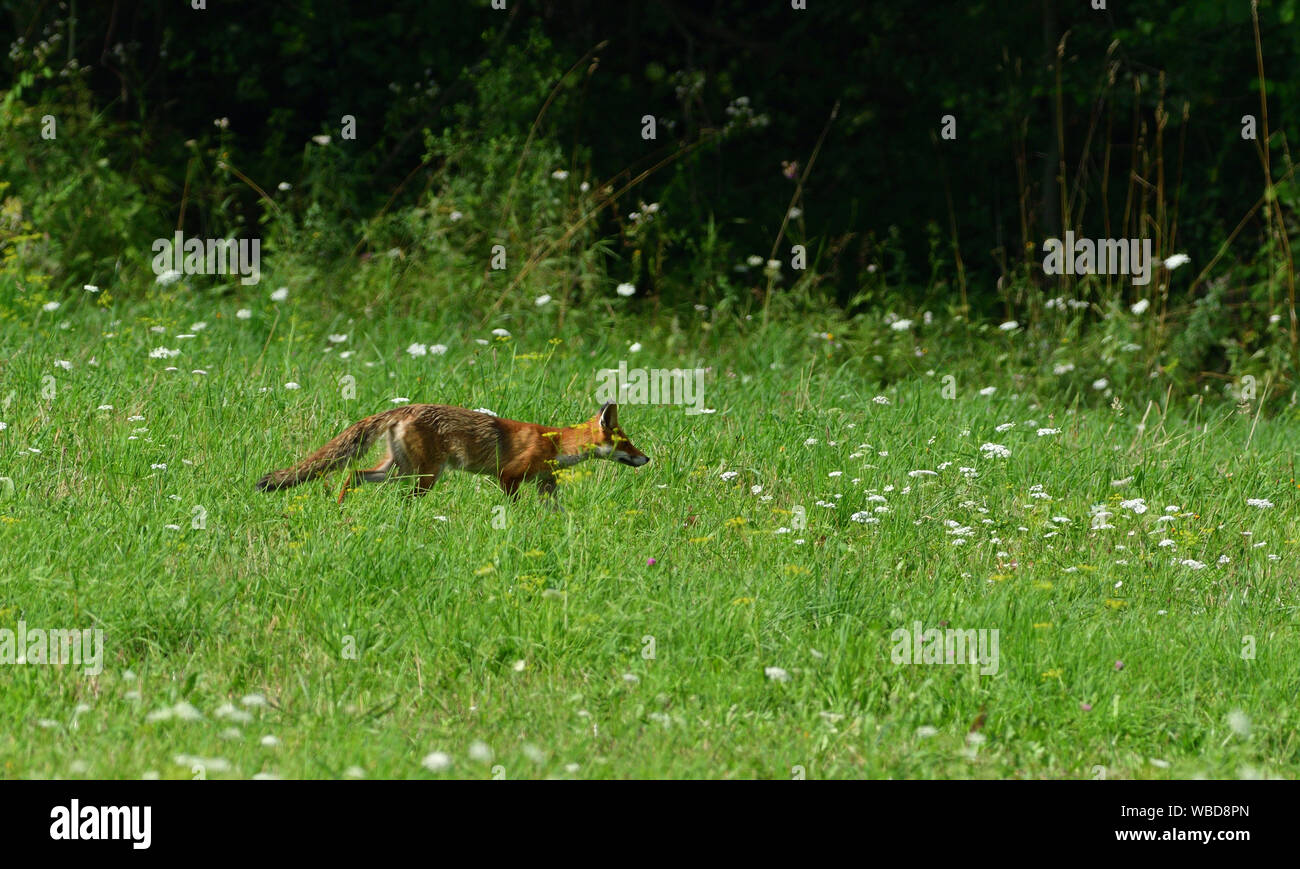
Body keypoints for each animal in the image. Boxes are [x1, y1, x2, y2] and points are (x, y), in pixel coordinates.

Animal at [255, 401, 649, 506]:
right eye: (626, 443)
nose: (647, 458)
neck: (554, 442)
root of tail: (403, 408)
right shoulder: (509, 477)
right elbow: (514, 508)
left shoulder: (545, 484)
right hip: (426, 475)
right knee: (402, 499)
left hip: (397, 470)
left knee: (352, 475)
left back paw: (340, 509)